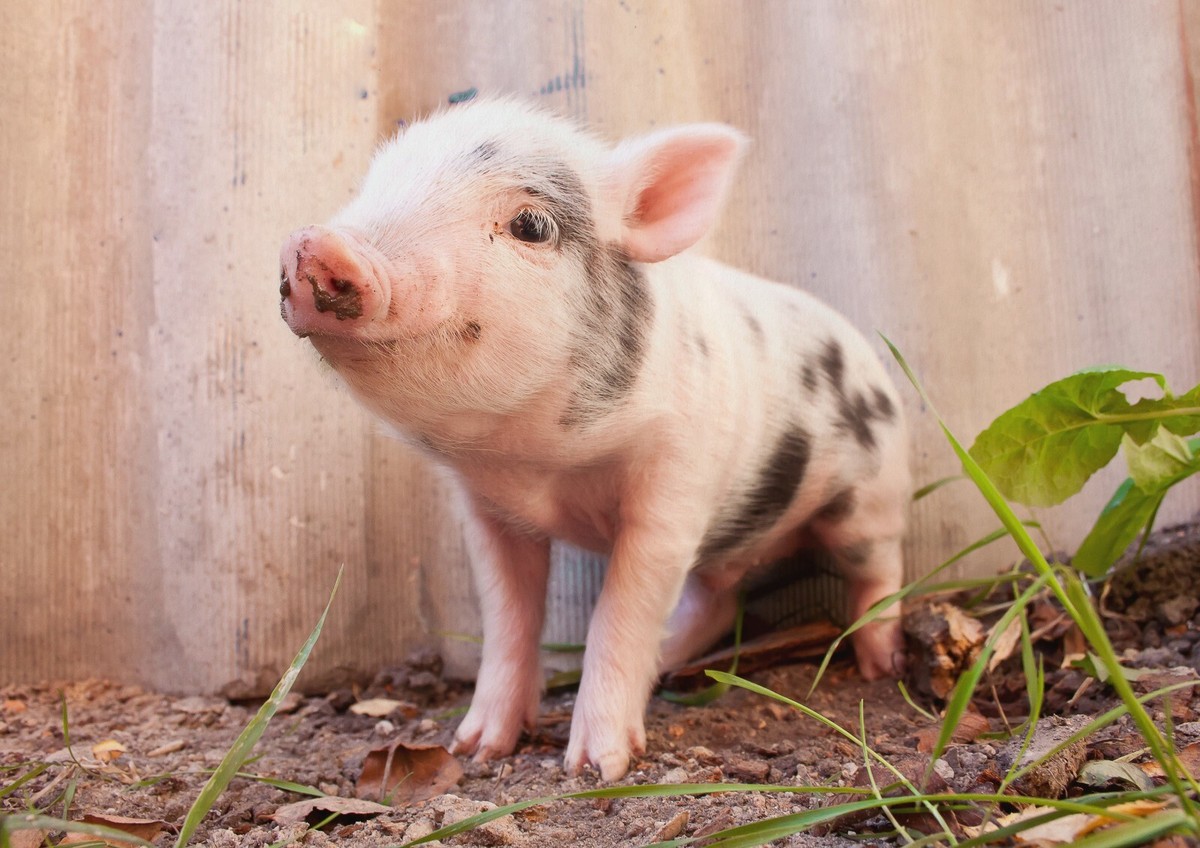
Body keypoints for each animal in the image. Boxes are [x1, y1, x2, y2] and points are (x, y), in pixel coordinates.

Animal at [279, 98, 909, 781]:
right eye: (373, 186)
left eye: (531, 225)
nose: (314, 244)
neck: (539, 464)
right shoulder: (486, 510)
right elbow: (507, 616)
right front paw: (474, 748)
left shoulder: (674, 486)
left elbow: (622, 611)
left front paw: (596, 768)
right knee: (716, 598)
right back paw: (672, 660)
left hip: (868, 499)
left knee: (879, 569)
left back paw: (882, 664)